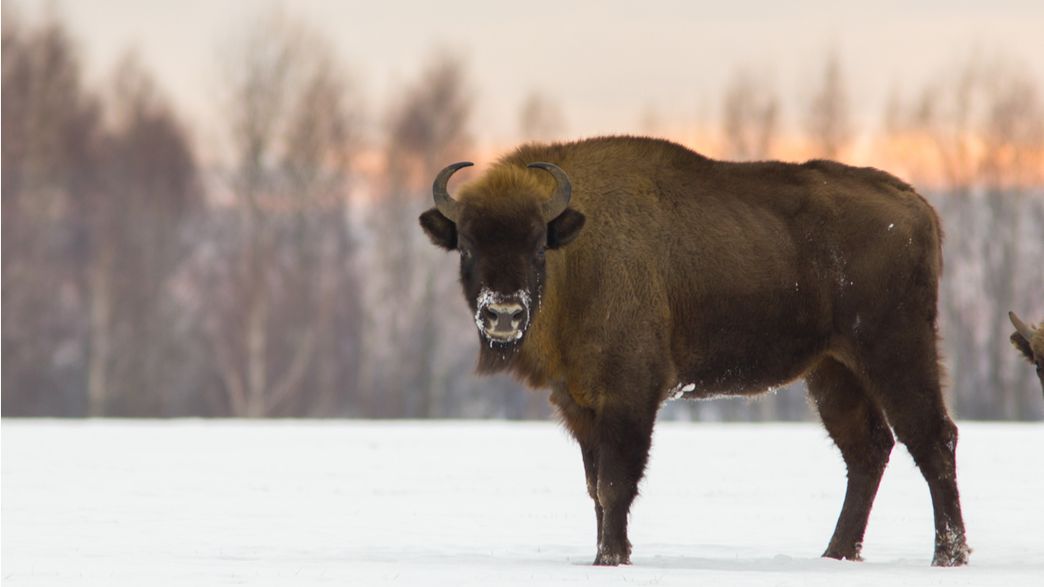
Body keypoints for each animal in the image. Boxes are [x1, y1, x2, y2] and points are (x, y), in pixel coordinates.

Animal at [419, 136, 970, 567]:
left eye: (537, 245)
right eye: (467, 246)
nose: (503, 313)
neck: (575, 252)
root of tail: (916, 204)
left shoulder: (630, 396)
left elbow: (615, 484)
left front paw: (612, 558)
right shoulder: (578, 405)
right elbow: (595, 488)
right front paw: (603, 555)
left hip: (894, 350)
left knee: (932, 439)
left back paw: (948, 556)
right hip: (833, 370)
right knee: (868, 449)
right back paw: (836, 554)